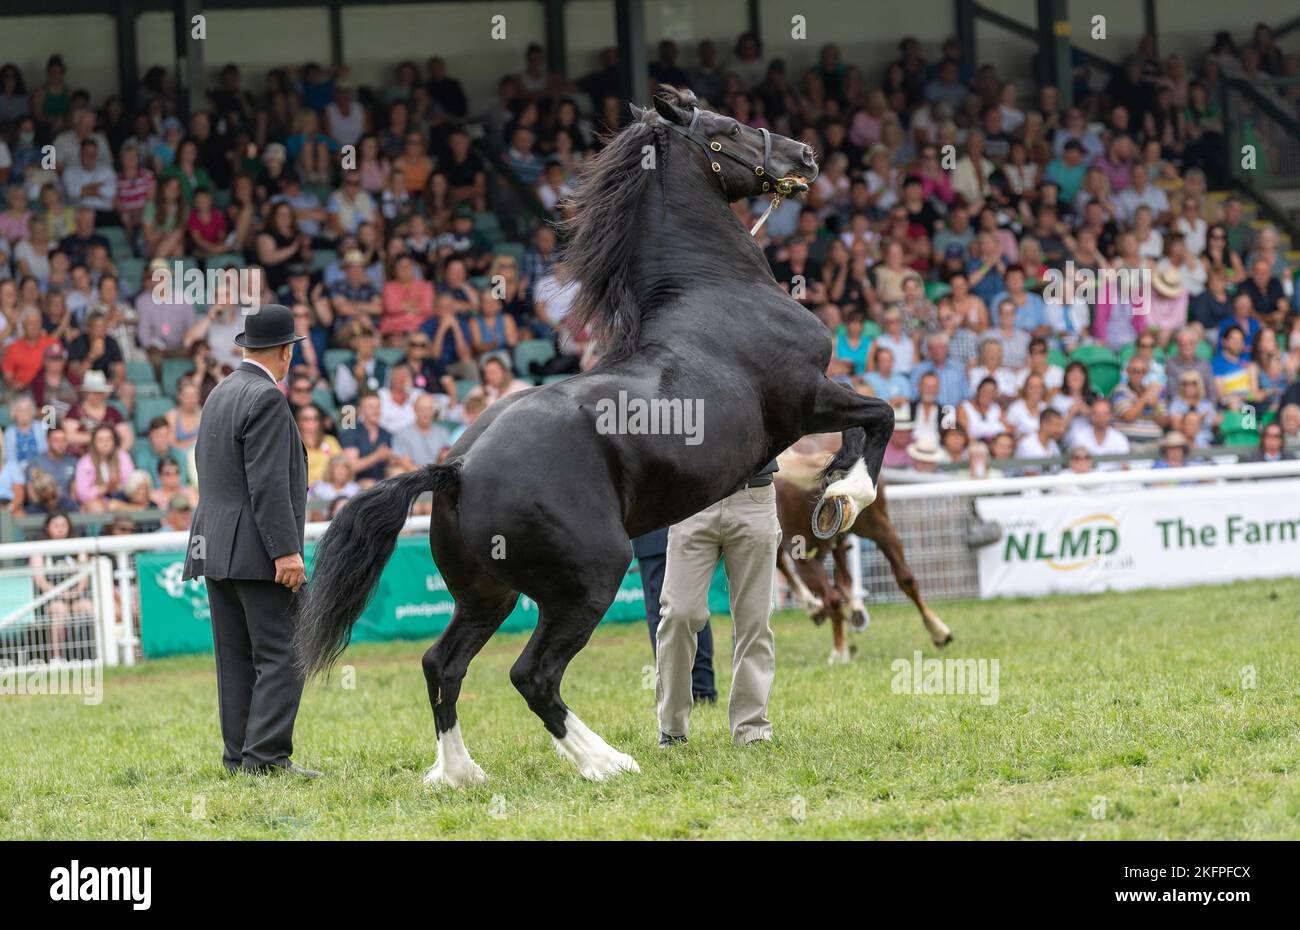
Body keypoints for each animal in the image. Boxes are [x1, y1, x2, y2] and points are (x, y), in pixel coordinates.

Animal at [294, 86, 895, 787]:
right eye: (727, 129)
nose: (806, 155)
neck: (716, 292)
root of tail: (457, 469)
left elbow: (865, 425)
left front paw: (832, 493)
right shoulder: (806, 399)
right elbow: (879, 415)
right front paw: (844, 496)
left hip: (488, 595)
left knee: (442, 664)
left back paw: (460, 773)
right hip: (588, 581)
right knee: (532, 674)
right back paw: (606, 761)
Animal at [775, 436, 953, 664]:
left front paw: (819, 609)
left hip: (807, 555)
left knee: (830, 597)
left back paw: (839, 650)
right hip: (881, 529)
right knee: (906, 577)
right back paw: (938, 630)